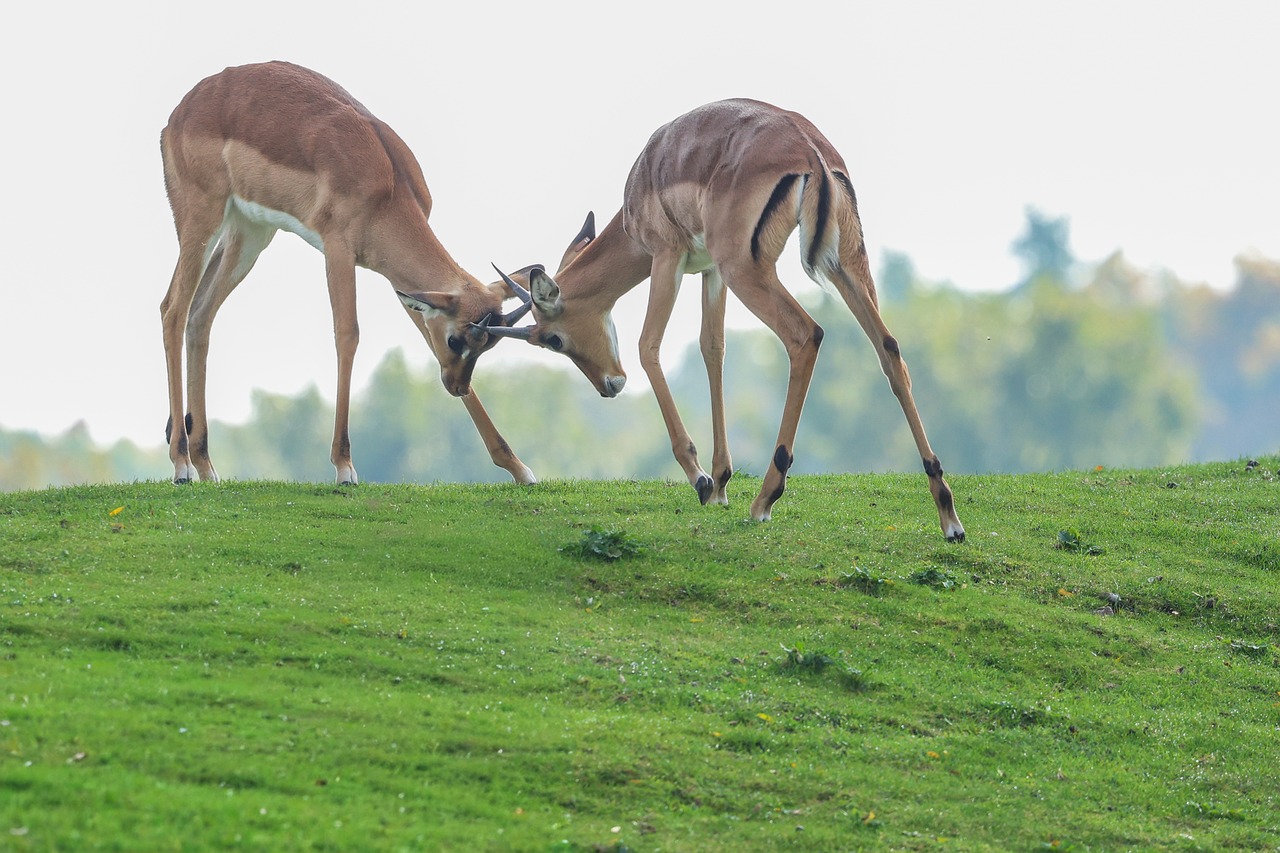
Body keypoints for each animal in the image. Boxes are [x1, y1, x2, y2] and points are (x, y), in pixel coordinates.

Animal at [159, 61, 533, 486]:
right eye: (457, 340)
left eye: (488, 344)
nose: (456, 386)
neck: (388, 184)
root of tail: (183, 109)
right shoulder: (337, 250)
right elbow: (348, 334)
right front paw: (344, 467)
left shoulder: (404, 286)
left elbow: (422, 342)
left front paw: (519, 468)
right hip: (201, 222)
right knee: (173, 309)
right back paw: (182, 464)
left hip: (249, 234)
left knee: (200, 315)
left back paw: (206, 466)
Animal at [487, 99, 965, 541]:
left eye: (552, 339)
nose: (610, 386)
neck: (642, 187)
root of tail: (810, 152)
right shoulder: (710, 271)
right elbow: (712, 348)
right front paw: (719, 483)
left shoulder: (668, 258)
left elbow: (648, 346)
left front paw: (699, 477)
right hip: (843, 264)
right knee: (890, 350)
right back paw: (948, 516)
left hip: (748, 269)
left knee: (806, 335)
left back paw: (765, 499)